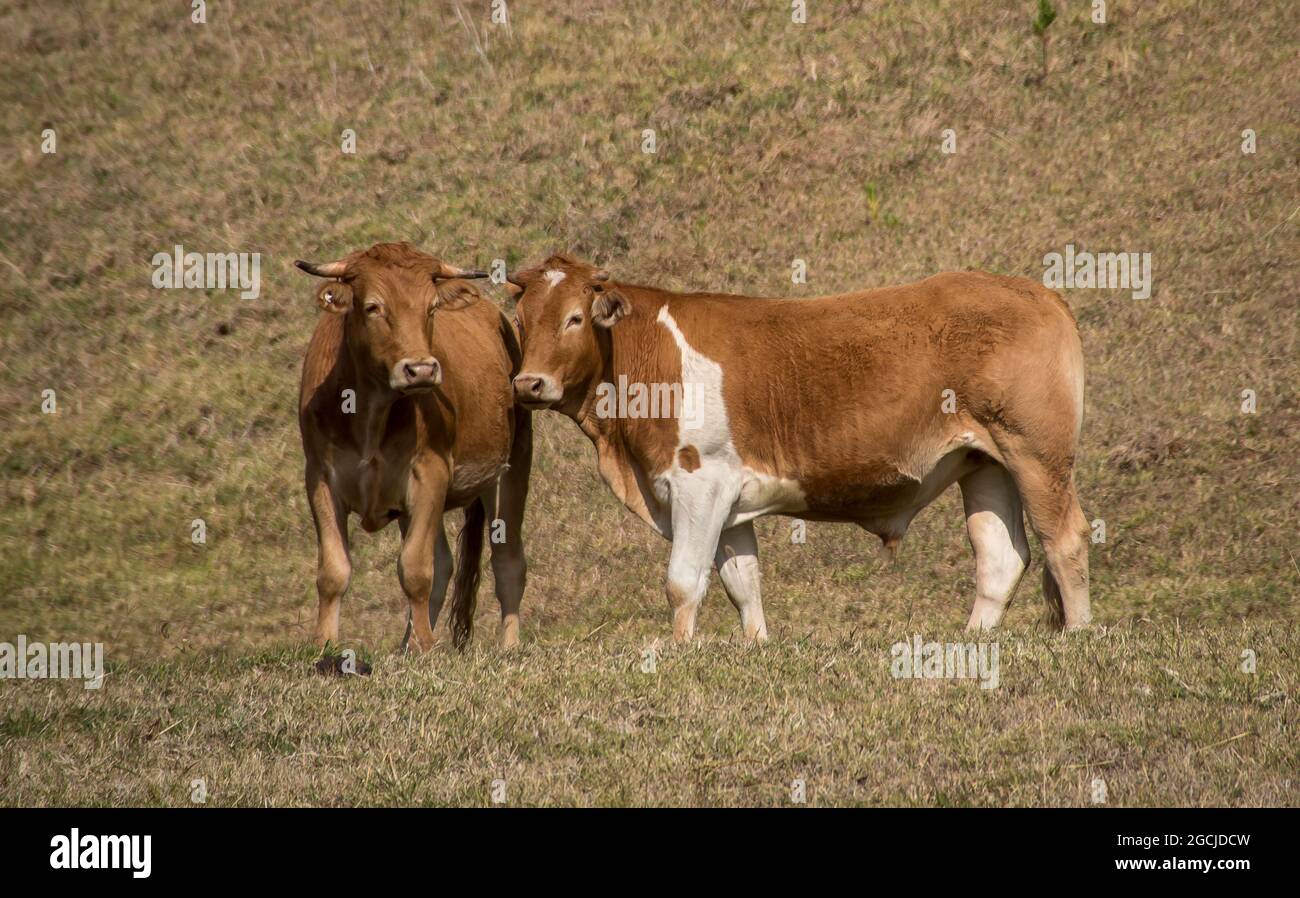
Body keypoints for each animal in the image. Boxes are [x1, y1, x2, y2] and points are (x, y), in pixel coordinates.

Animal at [295, 242, 531, 653]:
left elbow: (417, 569)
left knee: (506, 562)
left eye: (430, 307)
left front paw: (424, 644)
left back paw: (507, 645)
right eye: (373, 307)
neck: (370, 415)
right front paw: (324, 642)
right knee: (446, 561)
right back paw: (408, 643)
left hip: (511, 466)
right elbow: (333, 571)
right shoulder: (320, 477)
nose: (421, 370)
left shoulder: (429, 474)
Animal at [507, 254, 1089, 642]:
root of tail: (1036, 292)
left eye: (574, 318)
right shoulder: (727, 495)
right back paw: (973, 641)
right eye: (522, 320)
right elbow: (742, 582)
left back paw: (1079, 636)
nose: (529, 383)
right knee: (1000, 557)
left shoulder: (697, 482)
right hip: (985, 462)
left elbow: (683, 582)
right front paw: (757, 647)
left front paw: (679, 652)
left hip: (1037, 453)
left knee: (1066, 539)